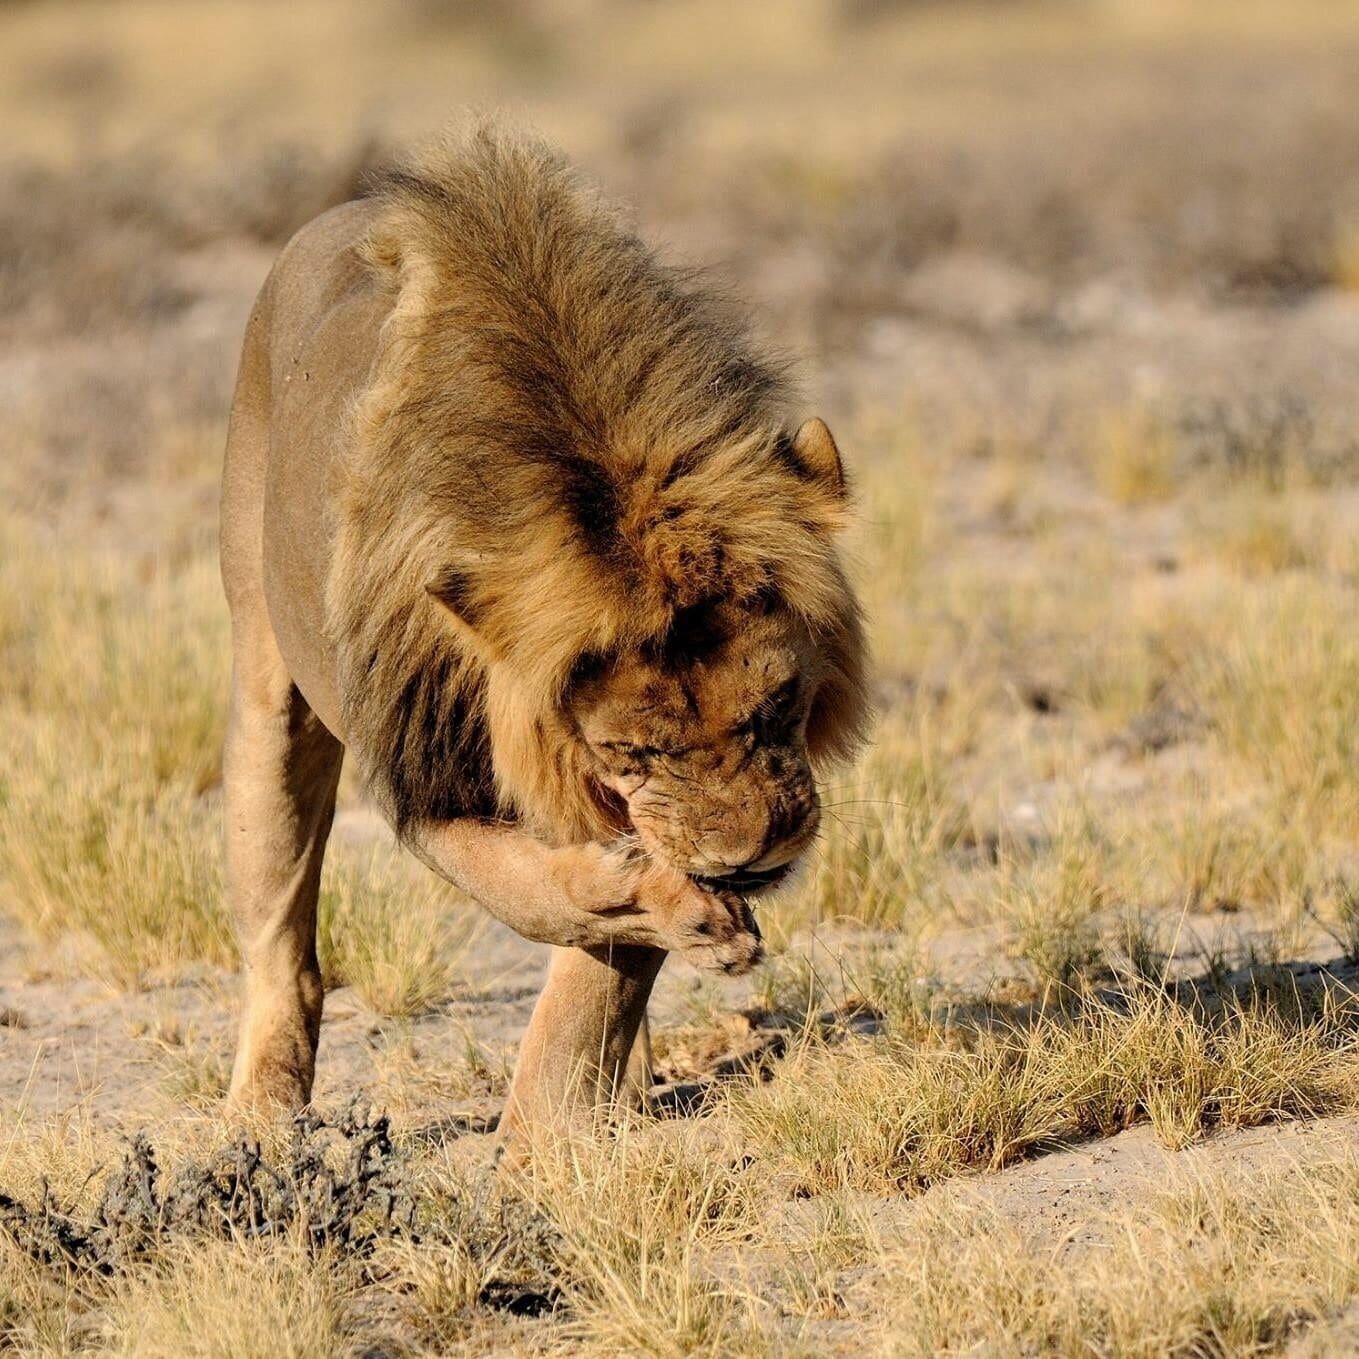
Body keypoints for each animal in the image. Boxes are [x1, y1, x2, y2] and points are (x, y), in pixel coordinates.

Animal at [219, 123, 868, 1140]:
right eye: (633, 749)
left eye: (779, 706)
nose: (746, 861)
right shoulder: (431, 770)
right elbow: (538, 894)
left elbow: (594, 985)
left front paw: (548, 1129)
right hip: (266, 689)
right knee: (281, 933)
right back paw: (260, 1117)